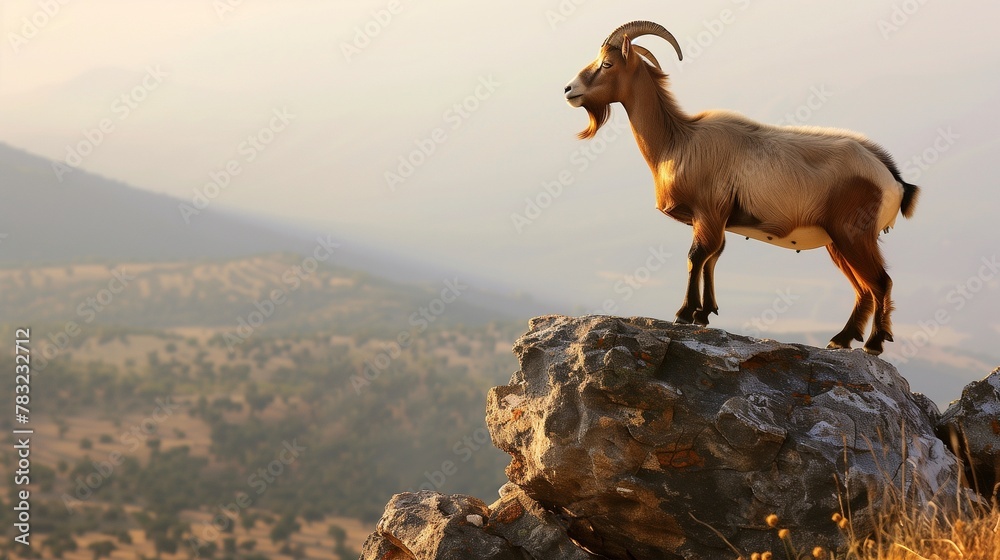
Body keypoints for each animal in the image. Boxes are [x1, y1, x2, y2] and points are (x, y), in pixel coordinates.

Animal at [564, 21, 920, 355]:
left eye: (607, 63)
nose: (569, 89)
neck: (678, 142)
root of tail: (892, 178)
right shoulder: (716, 219)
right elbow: (713, 257)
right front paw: (704, 313)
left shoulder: (708, 211)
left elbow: (697, 256)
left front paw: (684, 313)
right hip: (838, 242)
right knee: (863, 288)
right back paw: (843, 339)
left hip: (852, 235)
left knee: (880, 282)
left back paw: (874, 343)